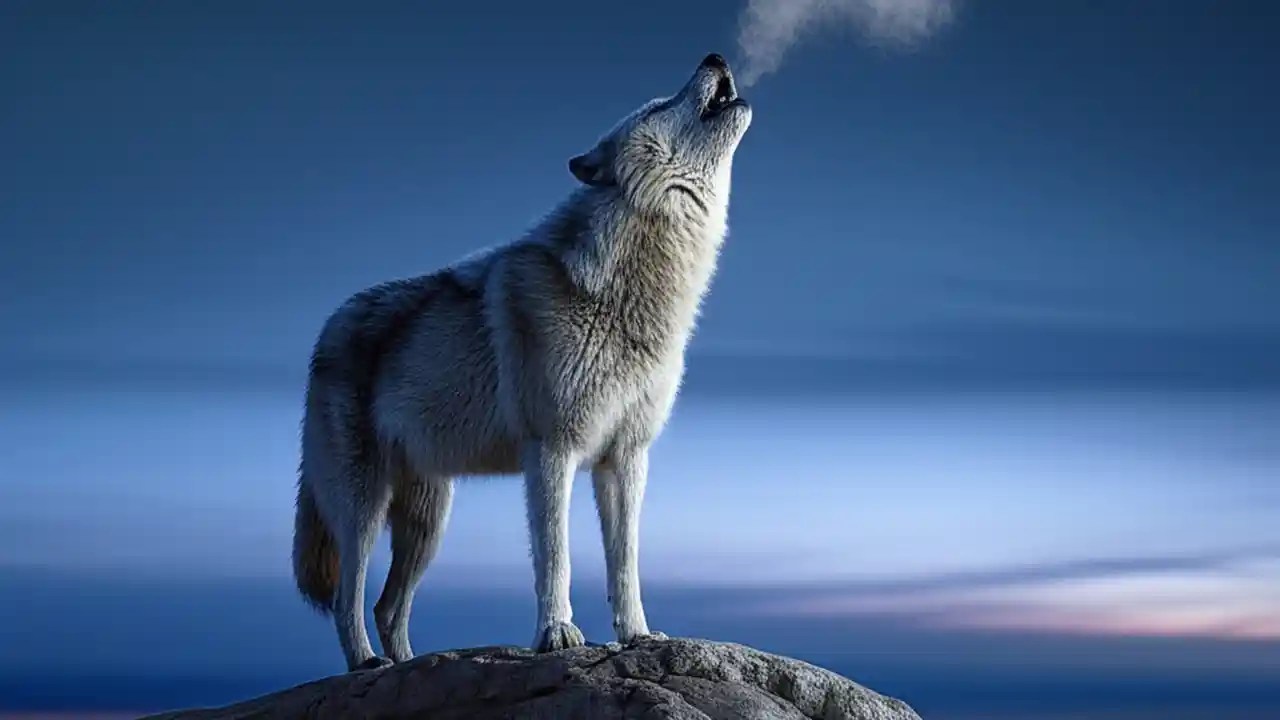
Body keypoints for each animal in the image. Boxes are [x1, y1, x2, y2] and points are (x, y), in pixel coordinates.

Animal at [292, 53, 752, 671]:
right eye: (661, 102)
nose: (715, 58)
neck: (626, 295)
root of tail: (326, 328)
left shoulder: (626, 457)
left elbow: (625, 560)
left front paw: (637, 634)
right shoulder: (552, 449)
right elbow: (555, 554)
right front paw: (556, 633)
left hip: (428, 521)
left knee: (389, 607)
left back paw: (413, 664)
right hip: (365, 508)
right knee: (349, 599)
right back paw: (368, 664)